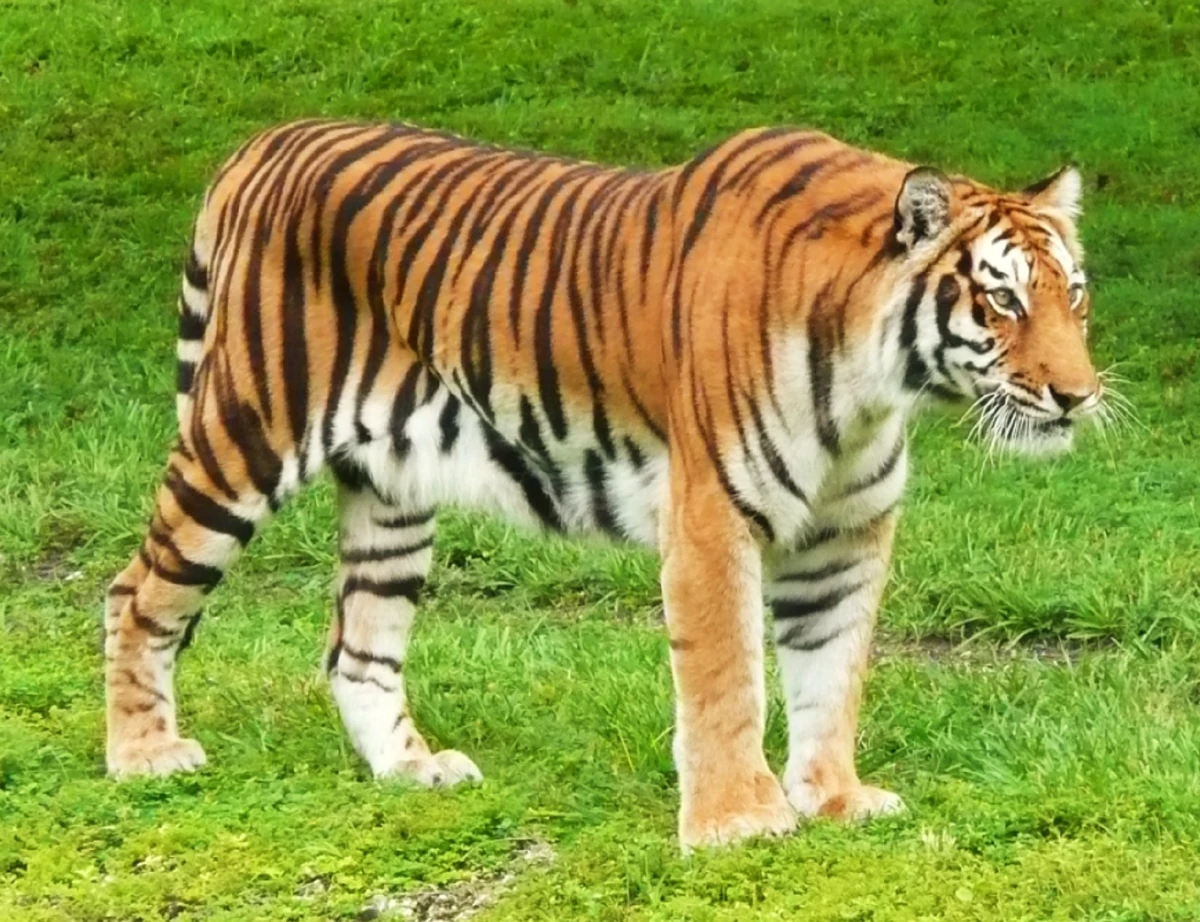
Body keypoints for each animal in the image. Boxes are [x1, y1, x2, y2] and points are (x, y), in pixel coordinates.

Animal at [104, 119, 1101, 852]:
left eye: (1075, 296)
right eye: (1003, 300)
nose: (1079, 395)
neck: (873, 383)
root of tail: (263, 142)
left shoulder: (844, 533)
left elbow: (832, 670)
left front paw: (835, 801)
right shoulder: (712, 515)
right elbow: (727, 676)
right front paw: (739, 822)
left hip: (392, 494)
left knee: (358, 649)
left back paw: (413, 772)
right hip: (242, 439)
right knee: (137, 592)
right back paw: (144, 755)